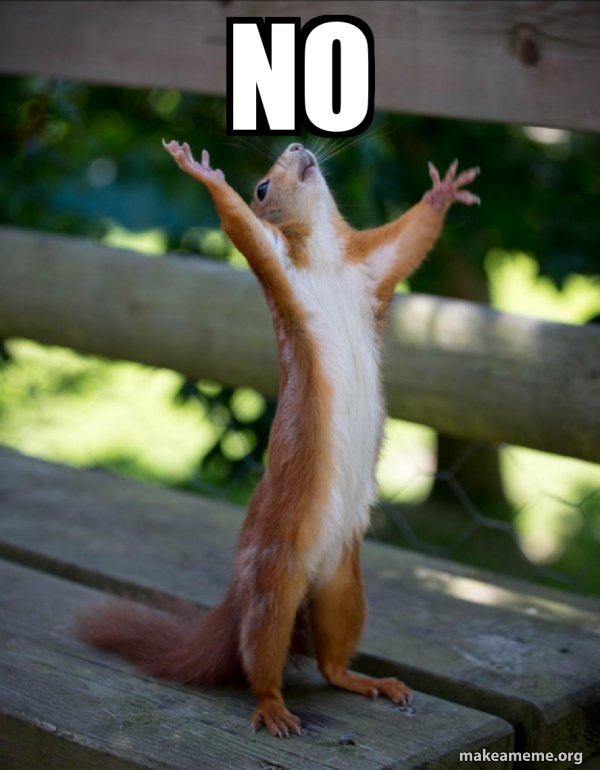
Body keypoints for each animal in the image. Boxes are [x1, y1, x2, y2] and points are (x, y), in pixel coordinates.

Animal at [77, 139, 480, 738]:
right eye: (262, 187)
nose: (295, 145)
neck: (327, 257)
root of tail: (239, 595)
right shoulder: (277, 266)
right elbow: (240, 226)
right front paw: (204, 173)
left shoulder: (372, 267)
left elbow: (409, 240)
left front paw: (443, 192)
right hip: (273, 585)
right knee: (260, 658)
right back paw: (273, 708)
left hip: (344, 586)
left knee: (332, 661)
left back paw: (368, 681)